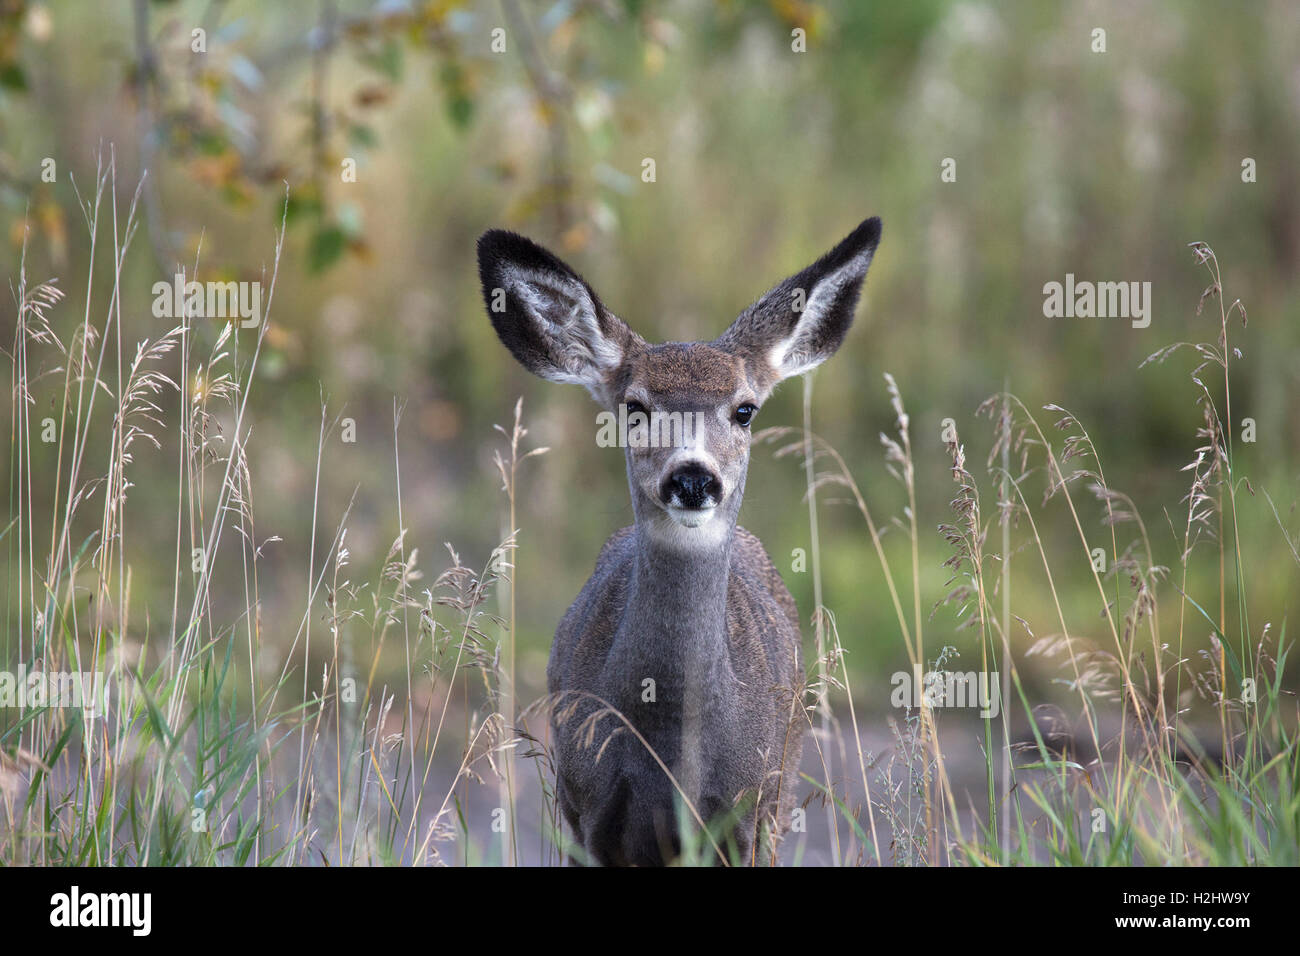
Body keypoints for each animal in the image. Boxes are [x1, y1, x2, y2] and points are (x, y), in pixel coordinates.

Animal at [476, 216, 881, 865]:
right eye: (635, 408)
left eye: (745, 410)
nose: (693, 477)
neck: (672, 742)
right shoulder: (584, 809)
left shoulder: (749, 809)